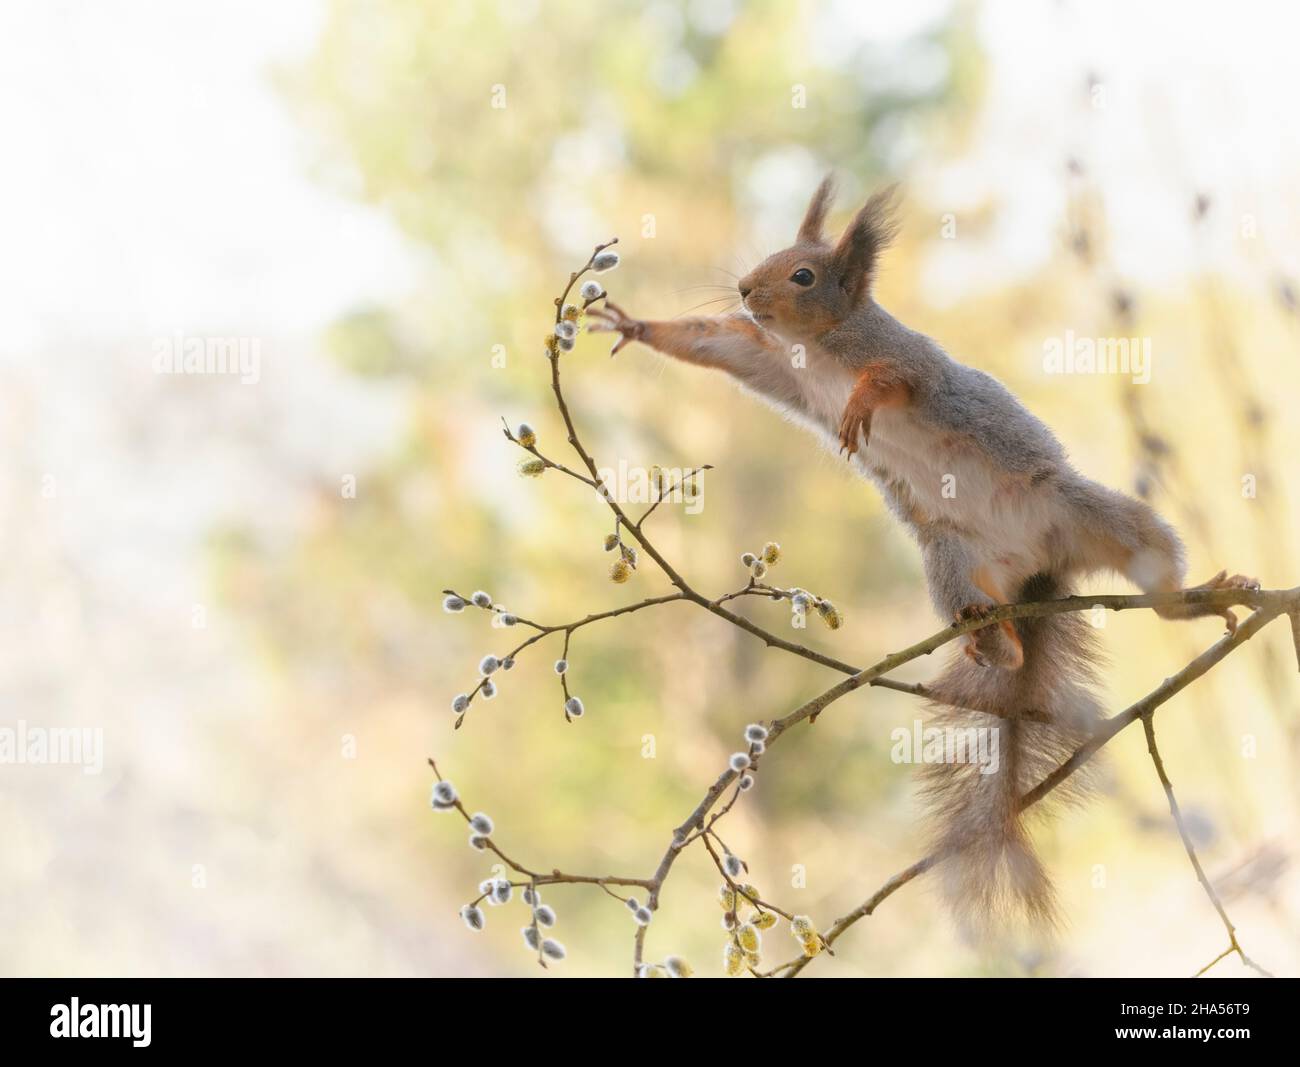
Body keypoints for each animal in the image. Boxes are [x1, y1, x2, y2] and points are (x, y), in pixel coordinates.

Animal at [588, 176, 1260, 937]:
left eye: (804, 275)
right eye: (770, 263)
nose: (744, 288)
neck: (816, 345)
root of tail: (1035, 569)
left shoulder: (903, 359)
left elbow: (895, 379)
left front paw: (861, 400)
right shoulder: (768, 360)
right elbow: (714, 343)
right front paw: (634, 326)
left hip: (1090, 514)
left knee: (1151, 563)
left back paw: (1193, 600)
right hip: (949, 559)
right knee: (994, 630)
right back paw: (998, 644)